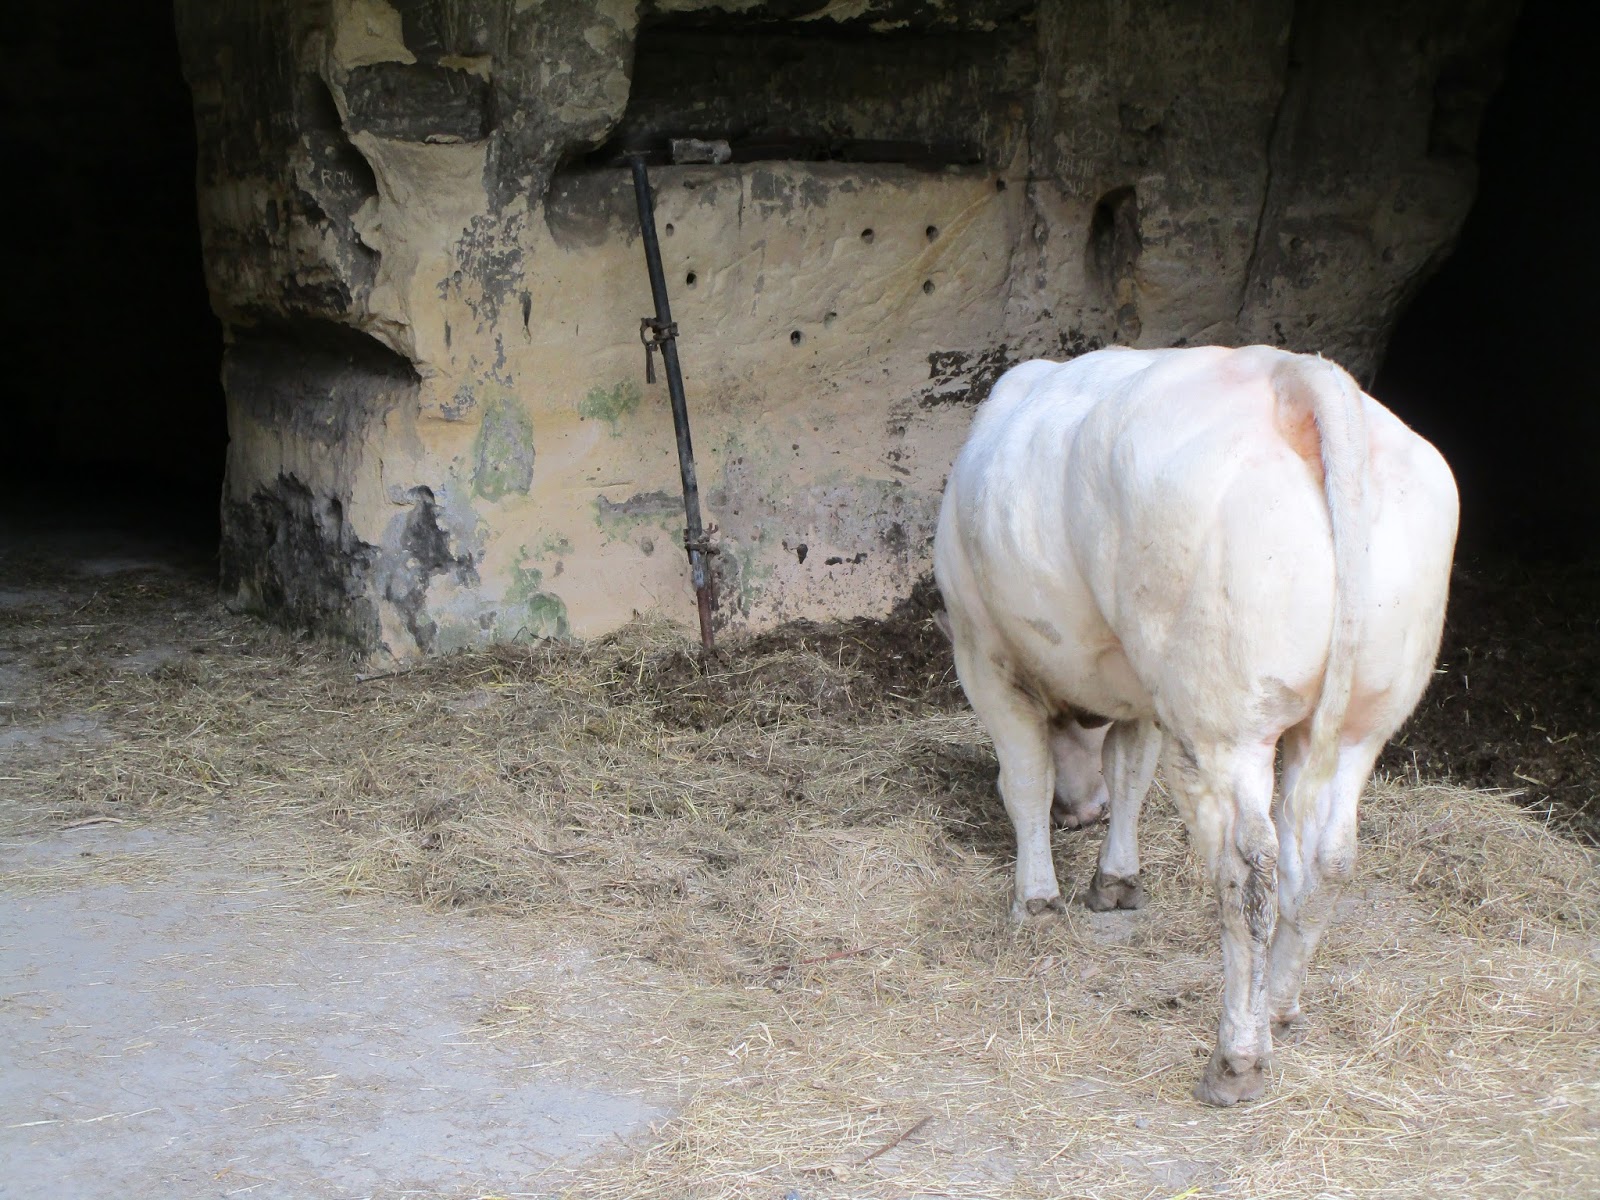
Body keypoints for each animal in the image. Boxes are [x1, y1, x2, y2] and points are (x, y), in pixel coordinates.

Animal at [933, 344, 1457, 1106]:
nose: (1079, 814)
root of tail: (1289, 376)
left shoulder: (986, 657)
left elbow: (1026, 781)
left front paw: (1035, 899)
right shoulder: (1145, 694)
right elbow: (1129, 774)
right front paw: (1114, 880)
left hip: (1224, 724)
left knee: (1249, 873)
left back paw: (1238, 1056)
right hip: (1361, 722)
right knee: (1328, 859)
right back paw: (1279, 1007)